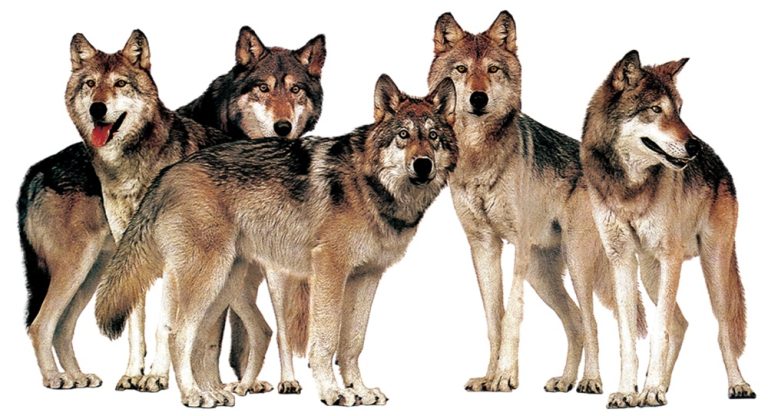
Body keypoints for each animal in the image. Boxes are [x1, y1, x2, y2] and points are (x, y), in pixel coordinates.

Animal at [18, 27, 324, 394]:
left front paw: (172, 379)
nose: (97, 109)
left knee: (278, 327)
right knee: (44, 324)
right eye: (91, 83)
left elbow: (179, 327)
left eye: (295, 89)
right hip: (84, 270)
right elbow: (145, 325)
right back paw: (61, 377)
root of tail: (33, 173)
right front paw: (140, 375)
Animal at [94, 74, 458, 408]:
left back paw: (216, 393)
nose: (422, 164)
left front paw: (361, 390)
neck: (370, 185)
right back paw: (194, 396)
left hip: (224, 286)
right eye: (403, 136)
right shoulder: (329, 271)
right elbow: (325, 341)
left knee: (202, 343)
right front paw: (333, 392)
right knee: (178, 335)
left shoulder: (367, 277)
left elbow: (352, 344)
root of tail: (168, 173)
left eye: (433, 136)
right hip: (208, 280)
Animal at [428, 11, 646, 394]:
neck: (479, 156)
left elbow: (511, 314)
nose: (478, 98)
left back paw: (590, 381)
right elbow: (493, 318)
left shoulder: (518, 244)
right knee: (575, 322)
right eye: (461, 69)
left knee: (591, 322)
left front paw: (505, 376)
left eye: (493, 69)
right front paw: (489, 376)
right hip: (543, 275)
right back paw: (565, 380)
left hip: (575, 263)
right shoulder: (483, 245)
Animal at [581, 50, 756, 408]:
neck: (629, 189)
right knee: (680, 324)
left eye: (679, 109)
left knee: (723, 330)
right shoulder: (620, 260)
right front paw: (628, 390)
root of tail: (721, 164)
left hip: (713, 267)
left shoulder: (670, 258)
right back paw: (659, 384)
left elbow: (658, 329)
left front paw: (649, 390)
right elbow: (628, 336)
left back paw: (737, 384)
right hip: (650, 274)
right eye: (655, 109)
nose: (693, 147)